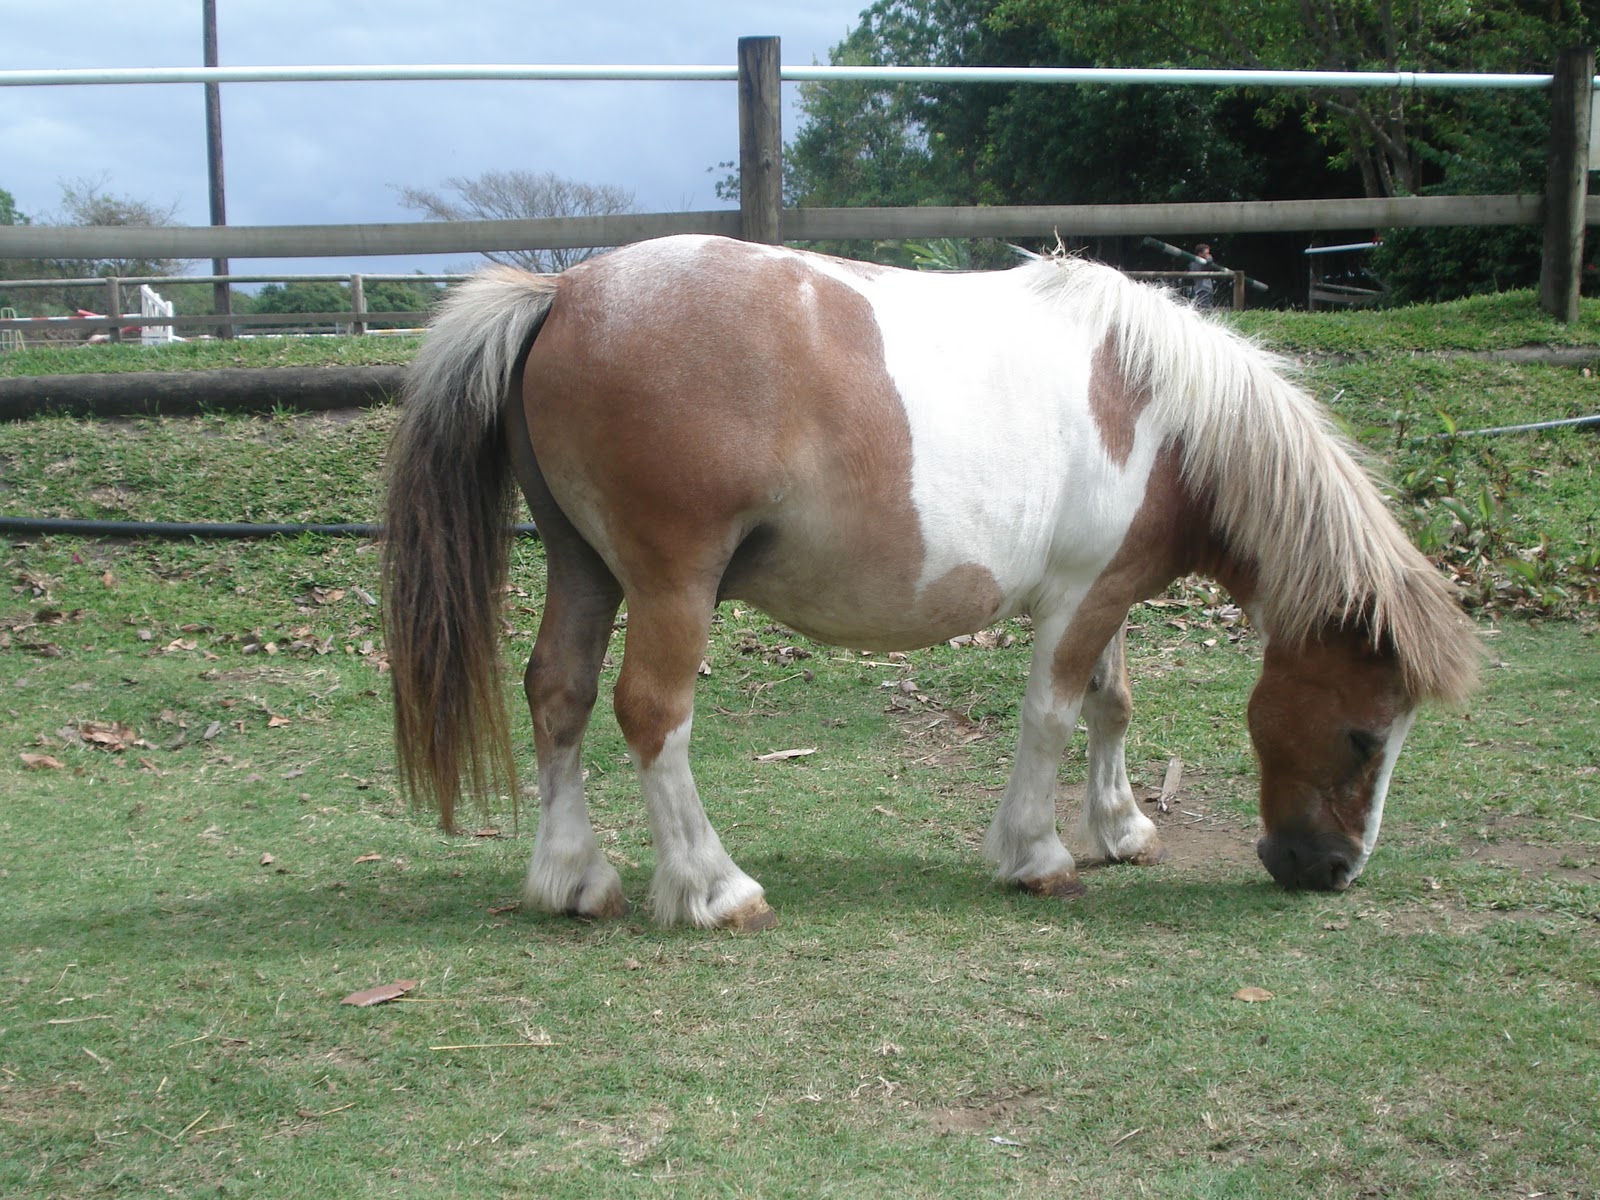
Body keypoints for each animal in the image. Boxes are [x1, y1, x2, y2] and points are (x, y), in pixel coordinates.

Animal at [381, 233, 1479, 930]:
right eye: (1364, 736)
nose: (1331, 872)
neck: (1161, 412)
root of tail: (561, 292)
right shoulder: (1080, 597)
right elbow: (1051, 715)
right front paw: (1037, 856)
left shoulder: (1111, 587)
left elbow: (1112, 704)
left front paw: (1122, 829)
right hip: (669, 586)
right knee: (651, 713)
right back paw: (713, 888)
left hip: (584, 568)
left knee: (557, 695)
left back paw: (573, 879)